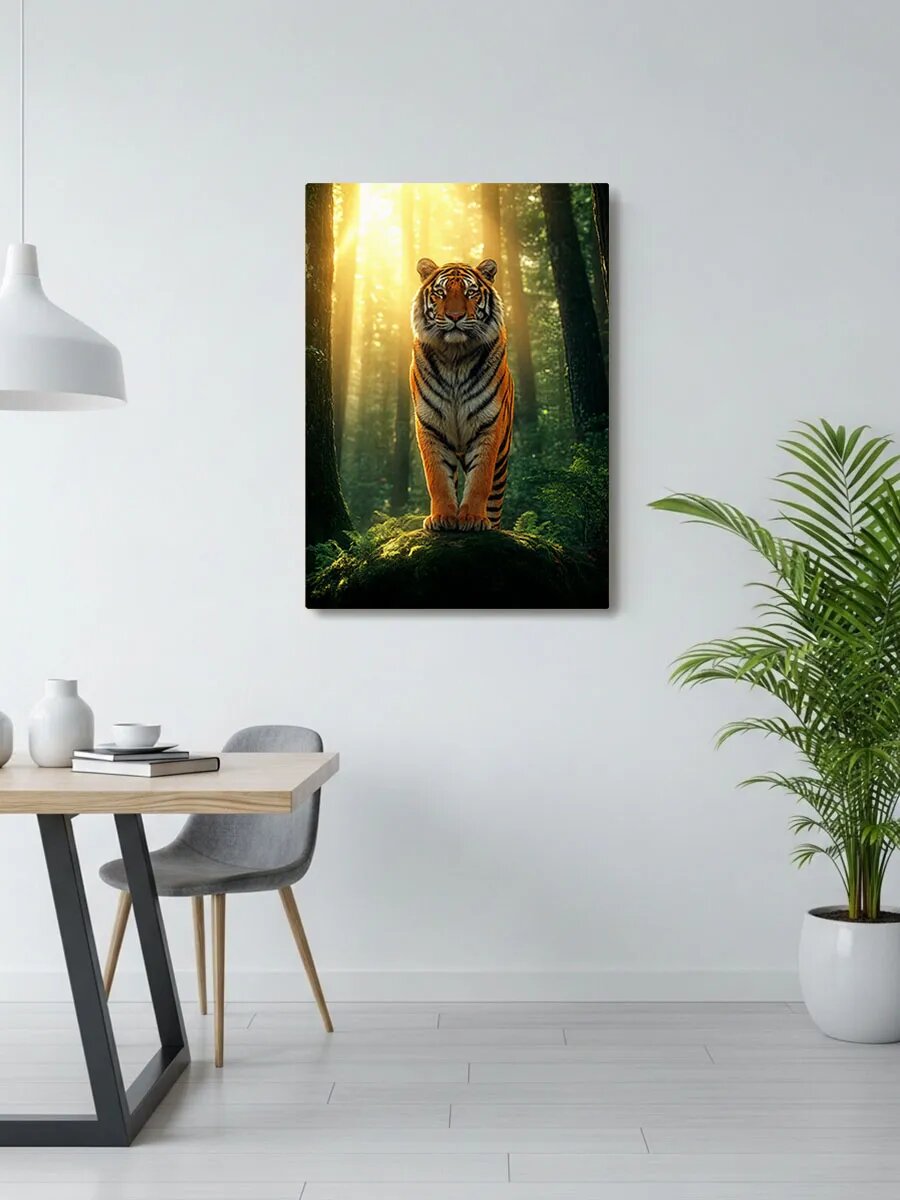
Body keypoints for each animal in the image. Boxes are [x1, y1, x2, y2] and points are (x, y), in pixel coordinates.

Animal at [410, 257, 515, 532]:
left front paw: (473, 519)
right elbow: (437, 477)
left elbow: (480, 479)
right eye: (440, 292)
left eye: (471, 293)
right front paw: (442, 517)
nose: (455, 316)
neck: (454, 356)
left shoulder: (488, 423)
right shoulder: (430, 424)